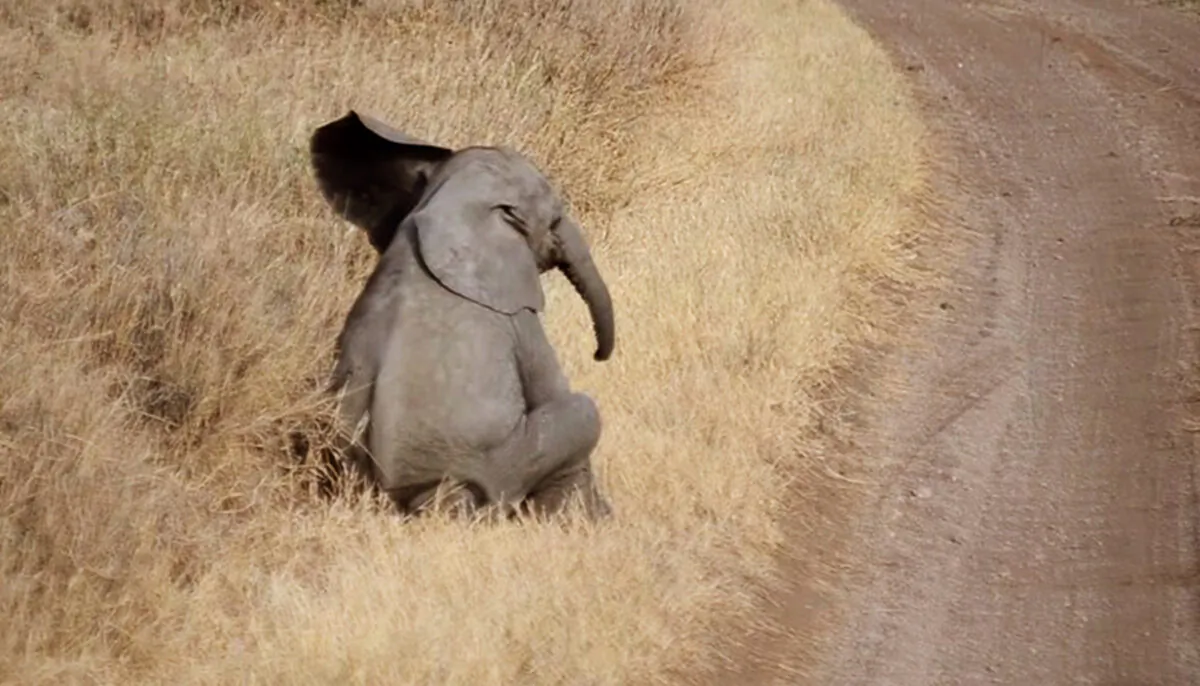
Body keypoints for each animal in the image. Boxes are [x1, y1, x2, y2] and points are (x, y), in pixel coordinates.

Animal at [309, 110, 615, 520]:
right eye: (554, 221)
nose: (598, 354)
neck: (452, 202)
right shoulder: (516, 313)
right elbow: (551, 388)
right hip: (496, 467)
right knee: (584, 413)